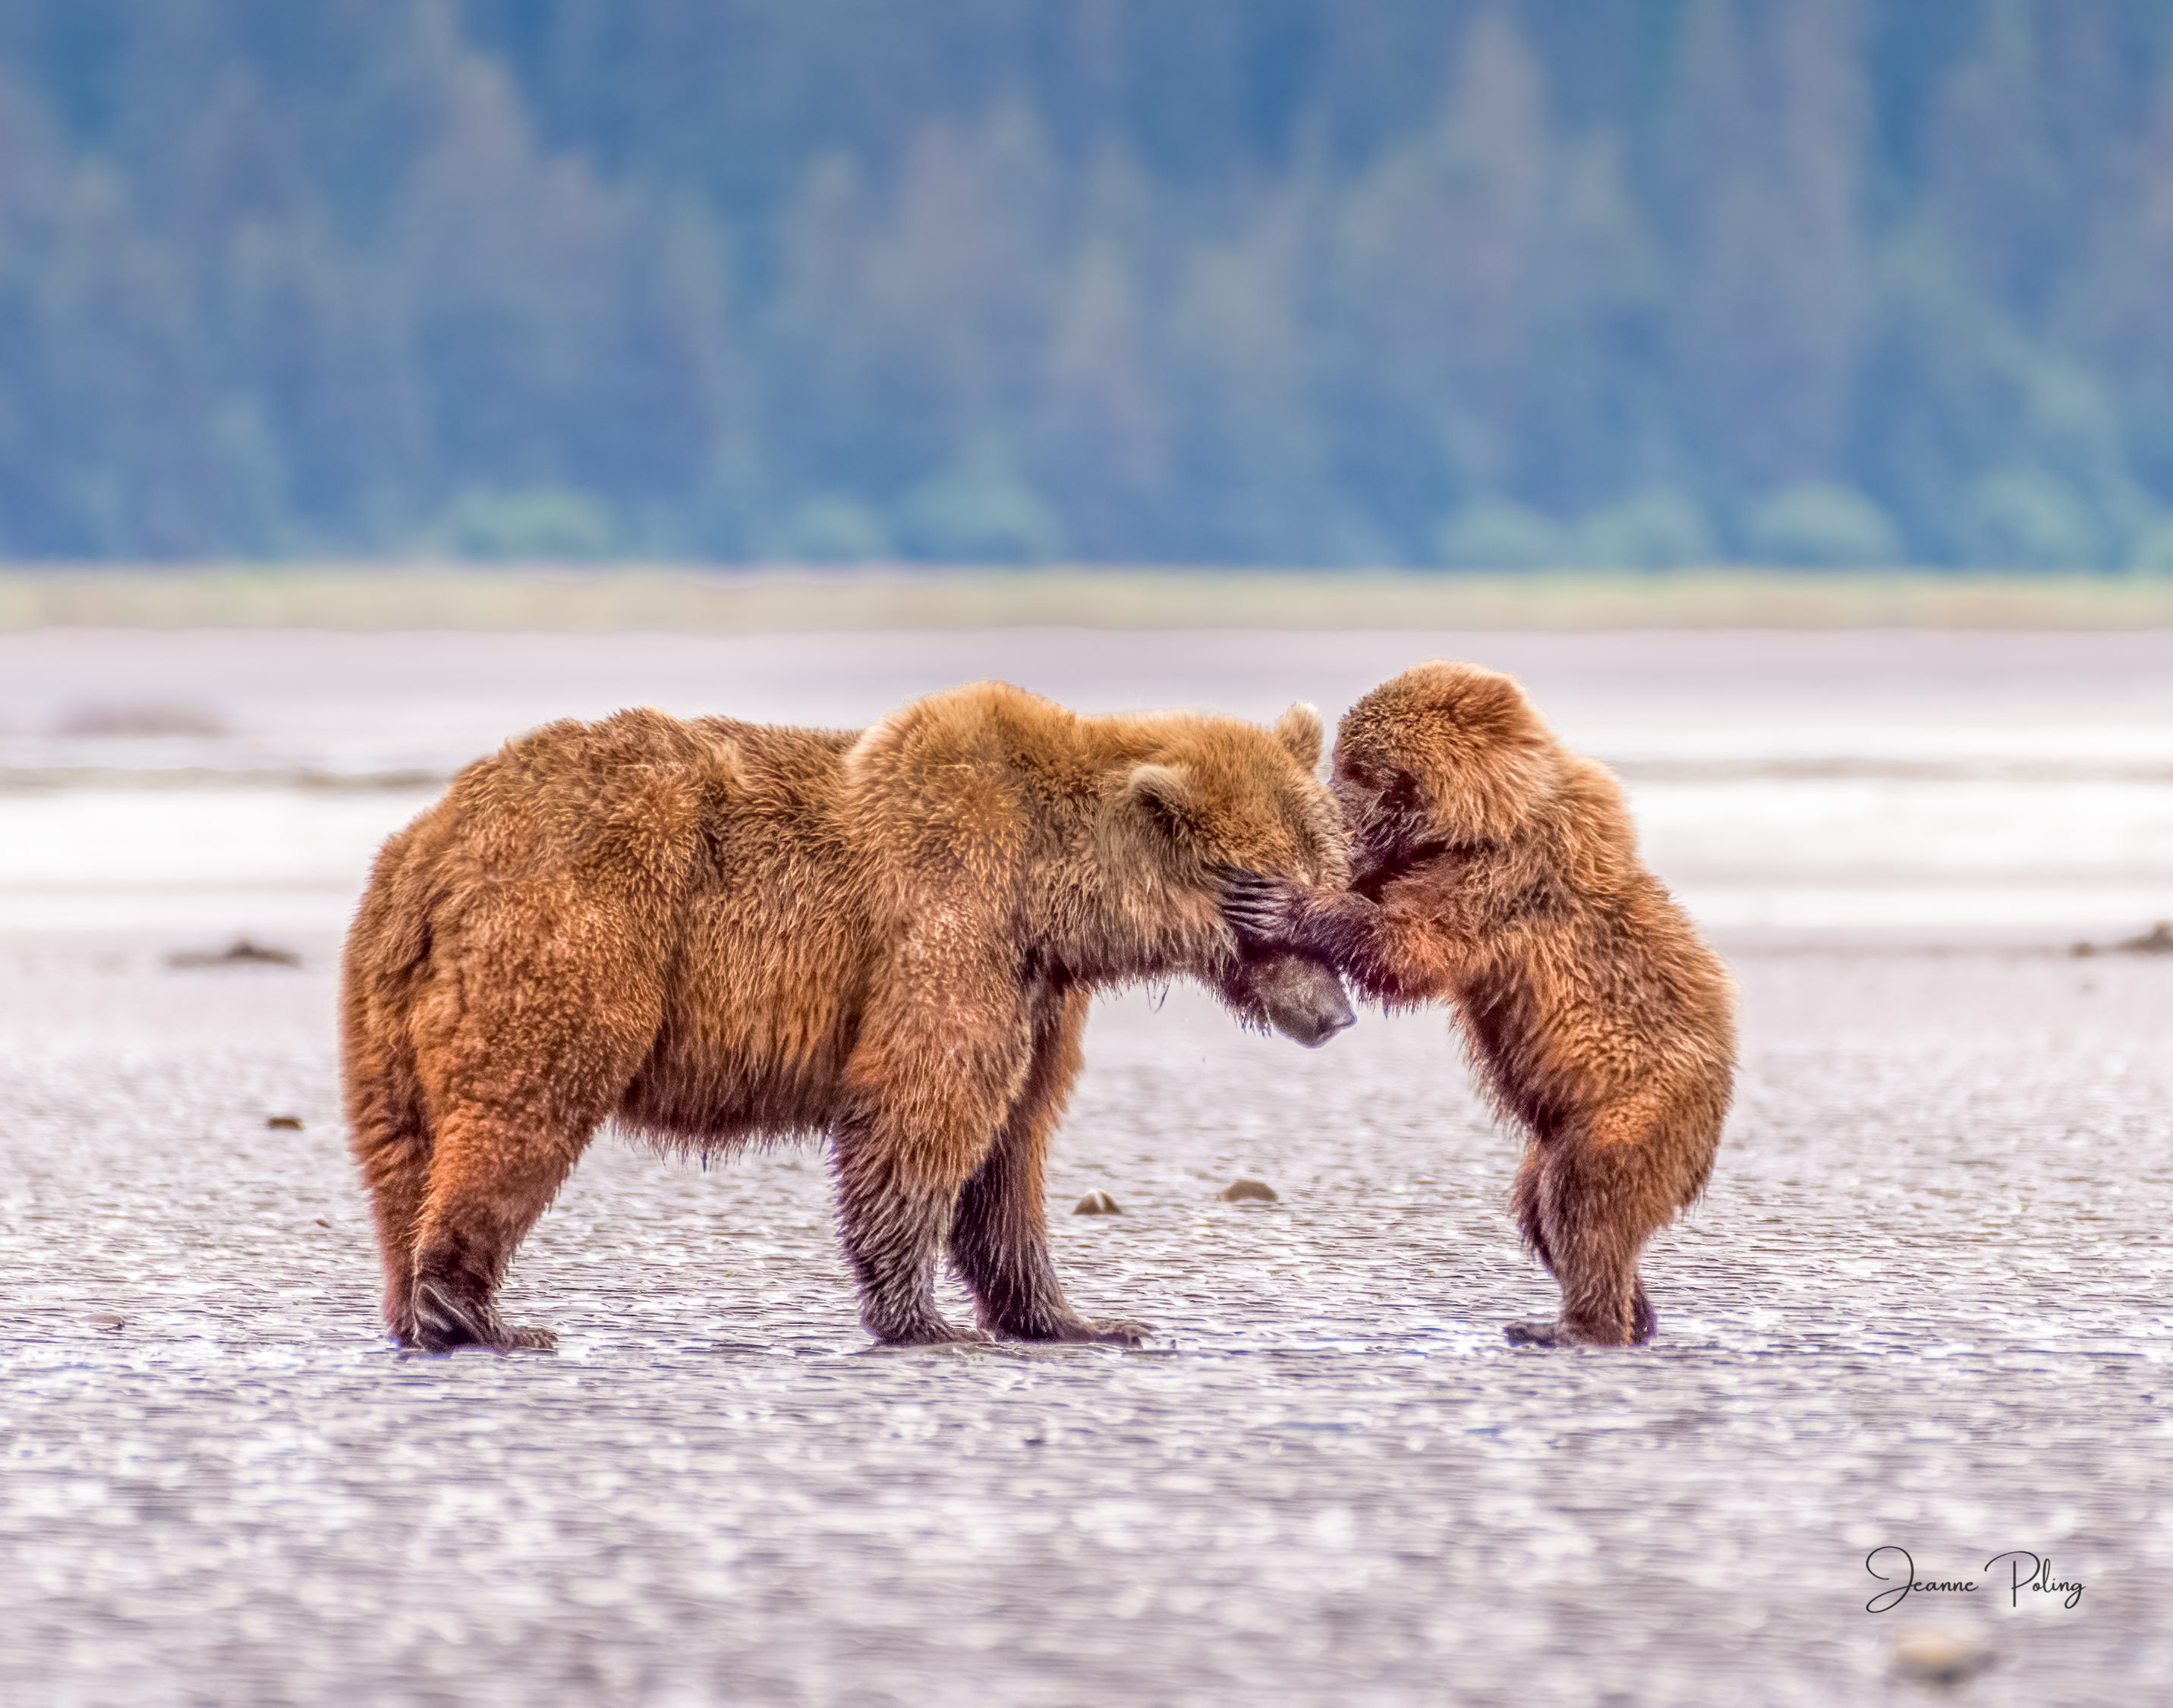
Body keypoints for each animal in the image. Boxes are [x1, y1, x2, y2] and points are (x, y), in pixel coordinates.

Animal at [341, 681, 1354, 1354]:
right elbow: (923, 1112)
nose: (1338, 1015)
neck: (1055, 898)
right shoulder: (950, 924)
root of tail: (434, 840)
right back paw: (479, 1315)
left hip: (387, 986)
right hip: (576, 932)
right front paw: (927, 1321)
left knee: (401, 1144)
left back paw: (415, 1301)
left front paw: (1081, 1318)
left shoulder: (1037, 990)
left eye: (1335, 880)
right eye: (1273, 900)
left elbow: (1012, 1151)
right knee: (526, 1099)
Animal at [1222, 660, 1735, 1347]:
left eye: (1354, 764)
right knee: (1539, 1209)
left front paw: (1282, 902)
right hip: (1561, 1137)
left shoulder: (1499, 880)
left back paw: (1577, 1325)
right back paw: (1635, 1312)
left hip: (1630, 1115)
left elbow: (1410, 950)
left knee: (1583, 1207)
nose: (1330, 798)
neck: (1477, 822)